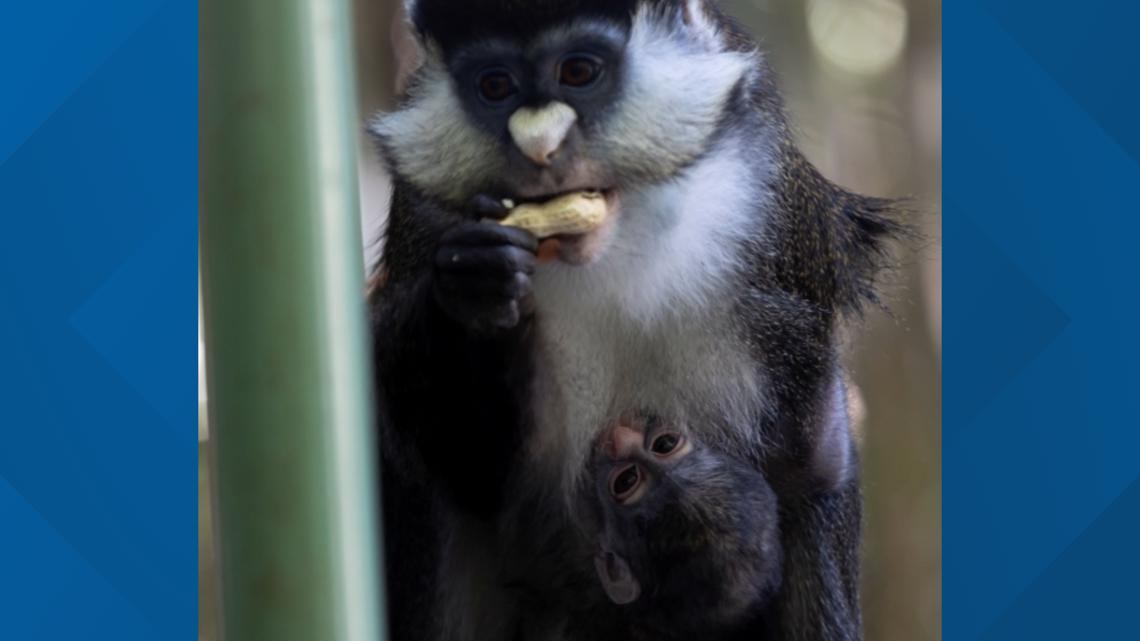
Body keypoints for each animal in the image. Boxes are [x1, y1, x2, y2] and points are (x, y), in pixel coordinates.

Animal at [367, 1, 900, 640]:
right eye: (495, 85)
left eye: (578, 71)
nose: (540, 148)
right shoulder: (423, 211)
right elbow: (449, 459)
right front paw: (472, 286)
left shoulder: (782, 230)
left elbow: (816, 462)